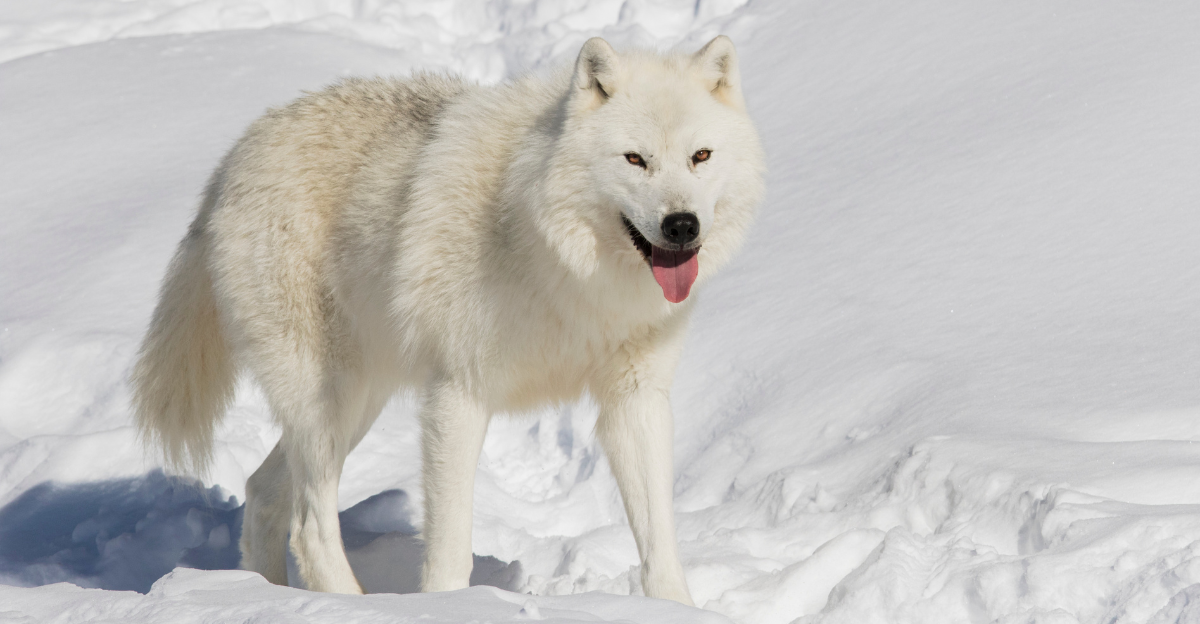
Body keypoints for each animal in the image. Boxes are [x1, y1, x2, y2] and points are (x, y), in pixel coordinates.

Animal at [131, 35, 764, 605]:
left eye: (700, 157)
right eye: (636, 159)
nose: (682, 225)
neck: (568, 271)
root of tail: (234, 157)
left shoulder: (636, 401)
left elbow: (659, 547)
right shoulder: (457, 396)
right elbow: (451, 547)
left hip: (358, 403)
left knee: (263, 491)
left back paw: (264, 596)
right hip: (328, 403)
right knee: (310, 525)